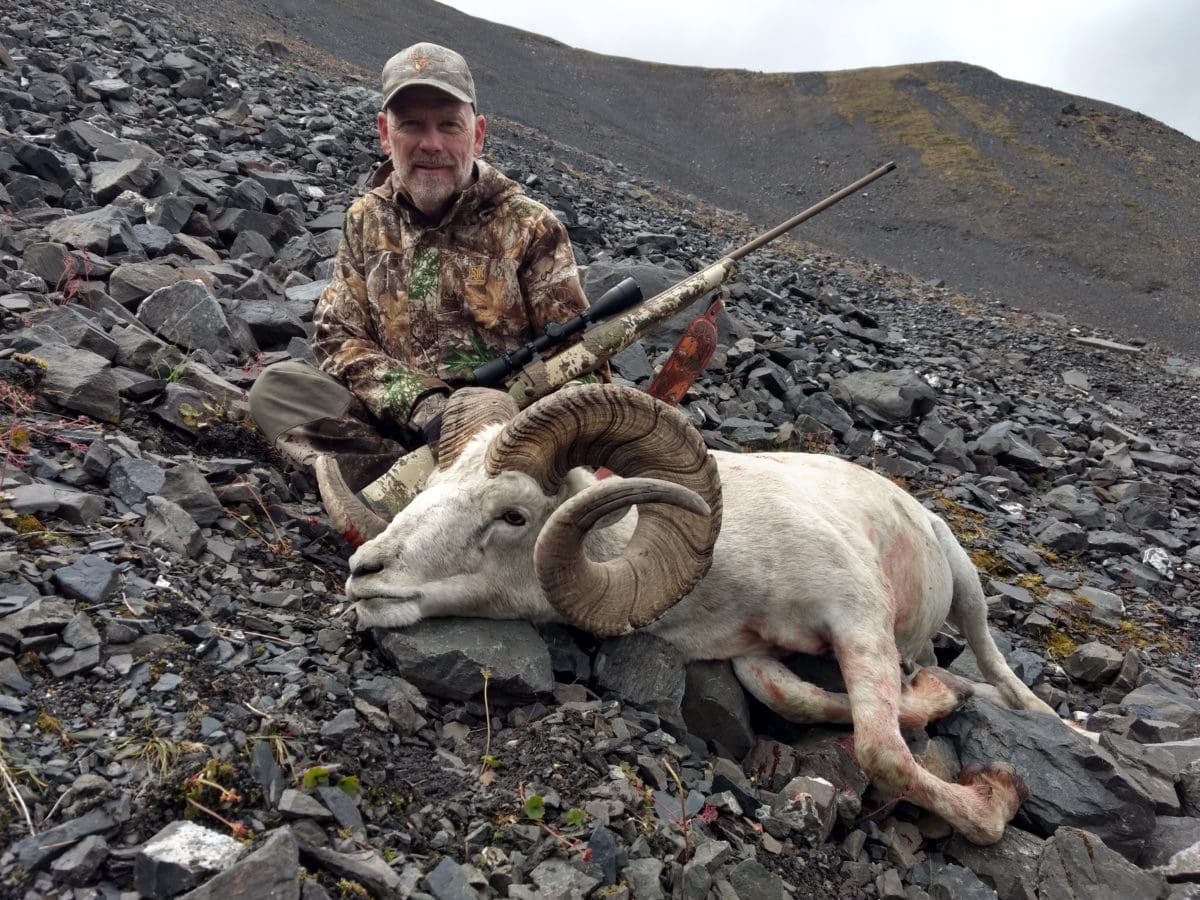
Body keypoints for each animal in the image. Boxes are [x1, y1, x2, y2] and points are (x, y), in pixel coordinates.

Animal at [335, 383, 1057, 844]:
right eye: (432, 486)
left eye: (513, 515)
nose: (364, 572)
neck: (729, 572)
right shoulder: (756, 655)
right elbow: (795, 699)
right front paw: (937, 694)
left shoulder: (860, 621)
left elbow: (881, 754)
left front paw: (999, 793)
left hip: (966, 583)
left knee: (994, 659)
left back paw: (1053, 723)